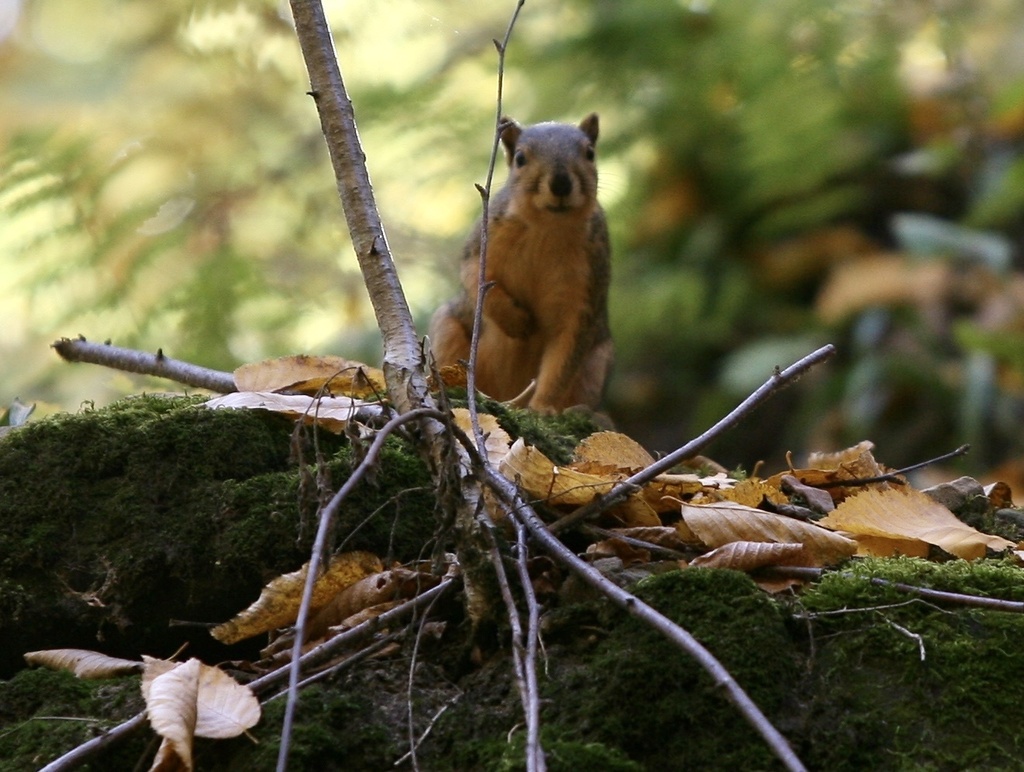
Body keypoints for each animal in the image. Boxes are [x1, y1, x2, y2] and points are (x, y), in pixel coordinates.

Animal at [429, 113, 613, 413]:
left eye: (590, 153)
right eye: (520, 158)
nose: (561, 183)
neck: (547, 227)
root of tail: (506, 398)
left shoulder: (585, 290)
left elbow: (563, 360)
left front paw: (543, 407)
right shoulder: (483, 241)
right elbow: (475, 280)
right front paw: (516, 321)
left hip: (598, 362)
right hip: (449, 328)